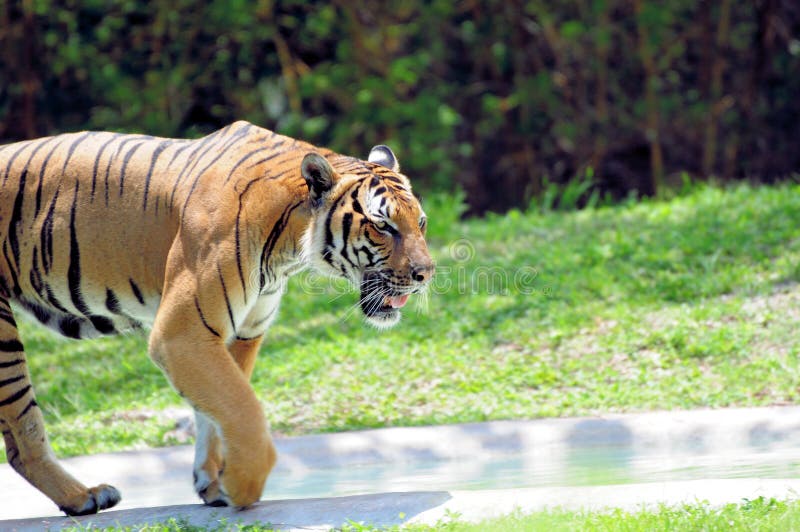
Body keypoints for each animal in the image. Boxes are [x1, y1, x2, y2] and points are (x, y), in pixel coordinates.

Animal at [0, 120, 434, 515]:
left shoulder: (239, 333)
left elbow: (216, 410)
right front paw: (242, 485)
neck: (290, 244)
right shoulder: (182, 333)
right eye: (382, 226)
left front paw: (214, 484)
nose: (426, 273)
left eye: (421, 222)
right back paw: (84, 497)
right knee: (23, 434)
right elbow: (243, 408)